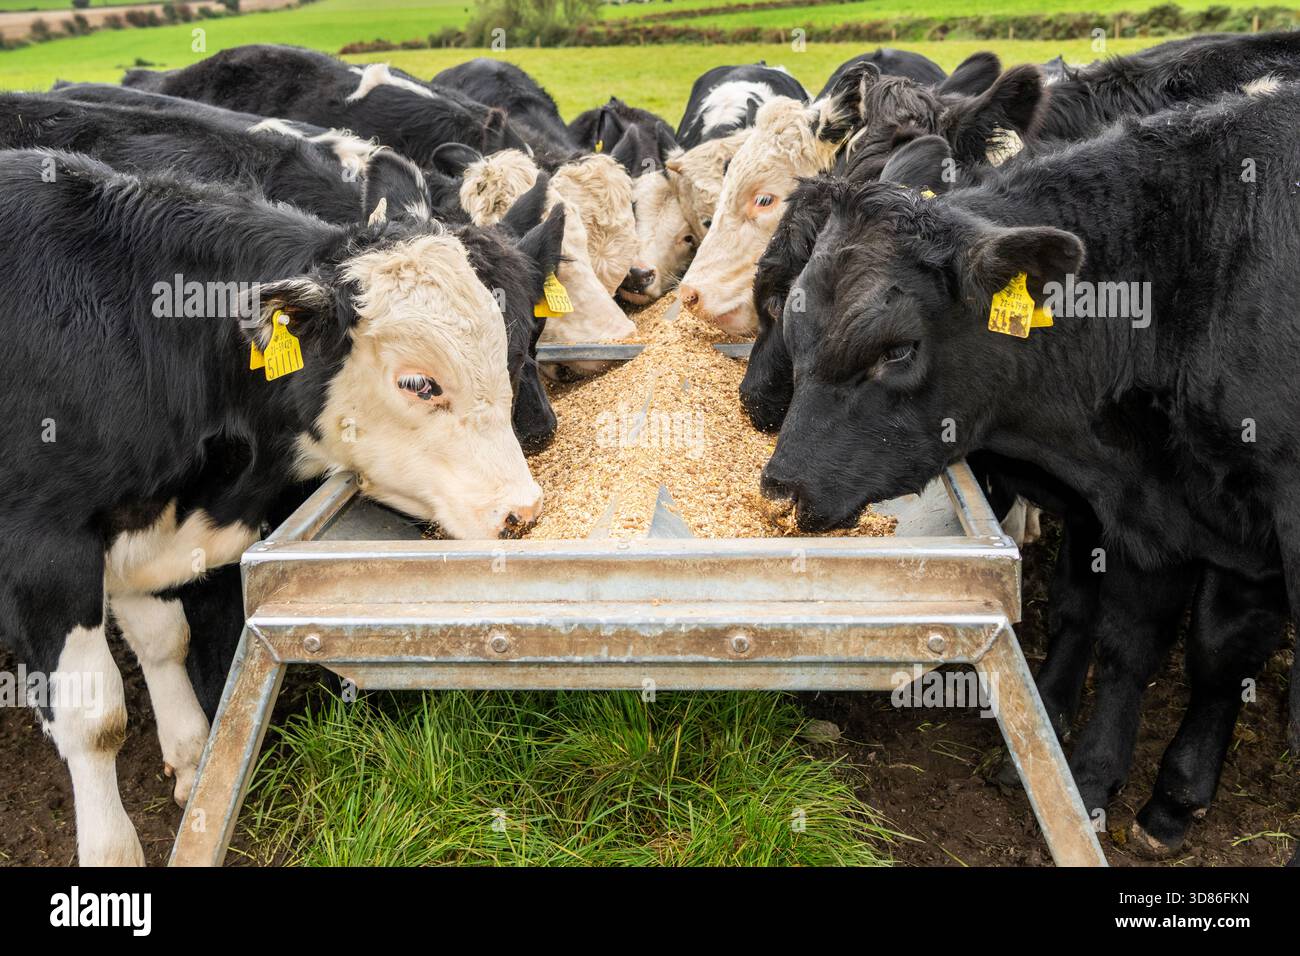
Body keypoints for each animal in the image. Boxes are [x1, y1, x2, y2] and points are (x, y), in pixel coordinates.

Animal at [0, 148, 545, 864]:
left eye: (509, 349)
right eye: (419, 382)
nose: (523, 512)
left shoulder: (143, 523)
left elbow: (165, 640)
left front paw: (192, 757)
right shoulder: (46, 549)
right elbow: (97, 721)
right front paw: (113, 849)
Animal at [757, 88, 1300, 863]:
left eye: (898, 350)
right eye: (790, 318)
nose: (782, 487)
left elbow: (1212, 651)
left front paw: (1167, 793)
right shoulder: (1146, 514)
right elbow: (1130, 639)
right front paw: (1096, 778)